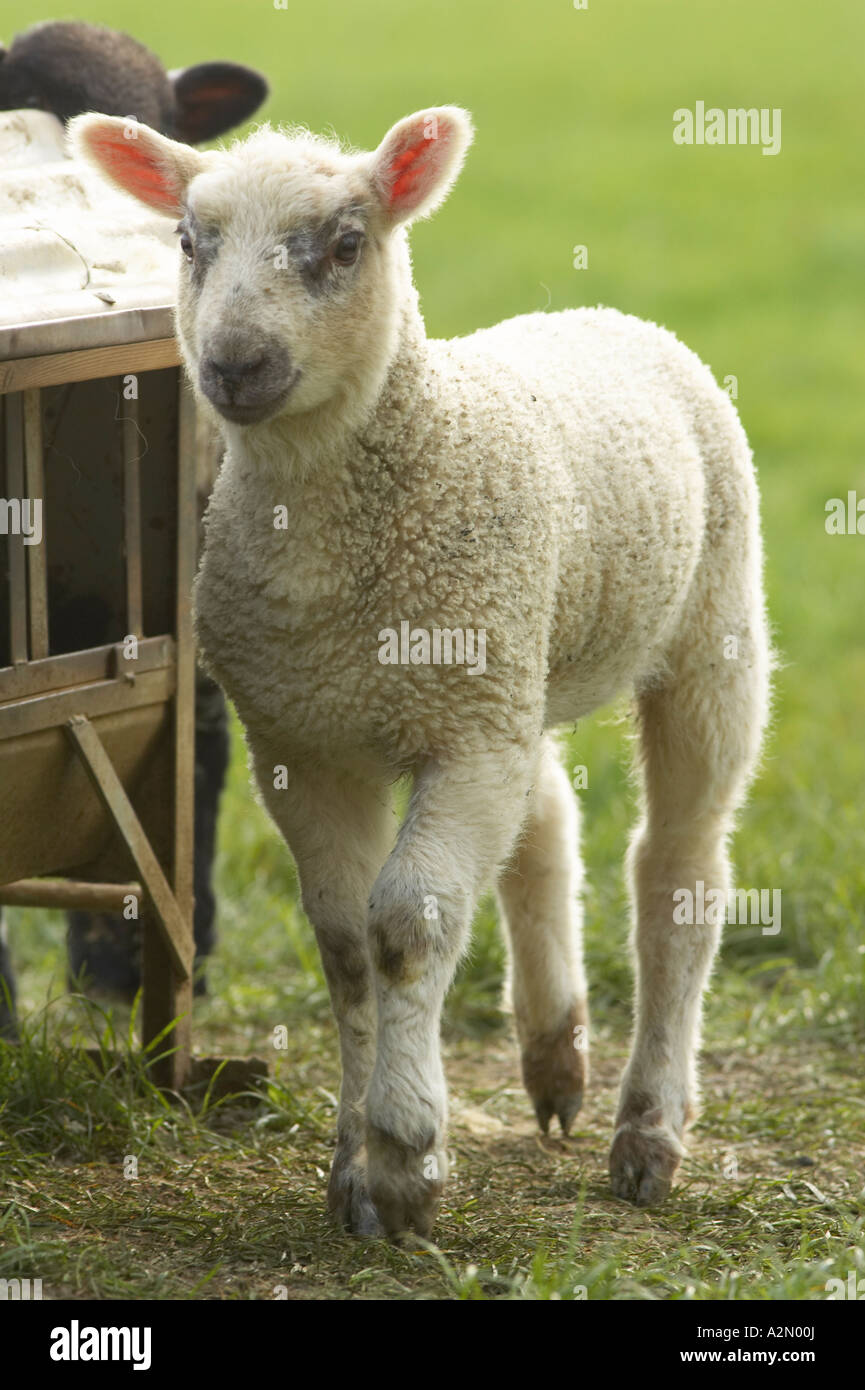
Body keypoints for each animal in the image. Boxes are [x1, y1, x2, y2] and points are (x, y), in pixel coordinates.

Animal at [72, 105, 772, 1238]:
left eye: (345, 245)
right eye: (187, 241)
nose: (234, 363)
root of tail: (600, 313)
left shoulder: (465, 732)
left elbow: (407, 925)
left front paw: (405, 1155)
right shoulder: (304, 741)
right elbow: (346, 942)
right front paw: (353, 1168)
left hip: (707, 628)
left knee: (679, 870)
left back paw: (648, 1129)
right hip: (515, 659)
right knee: (545, 820)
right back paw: (554, 1055)